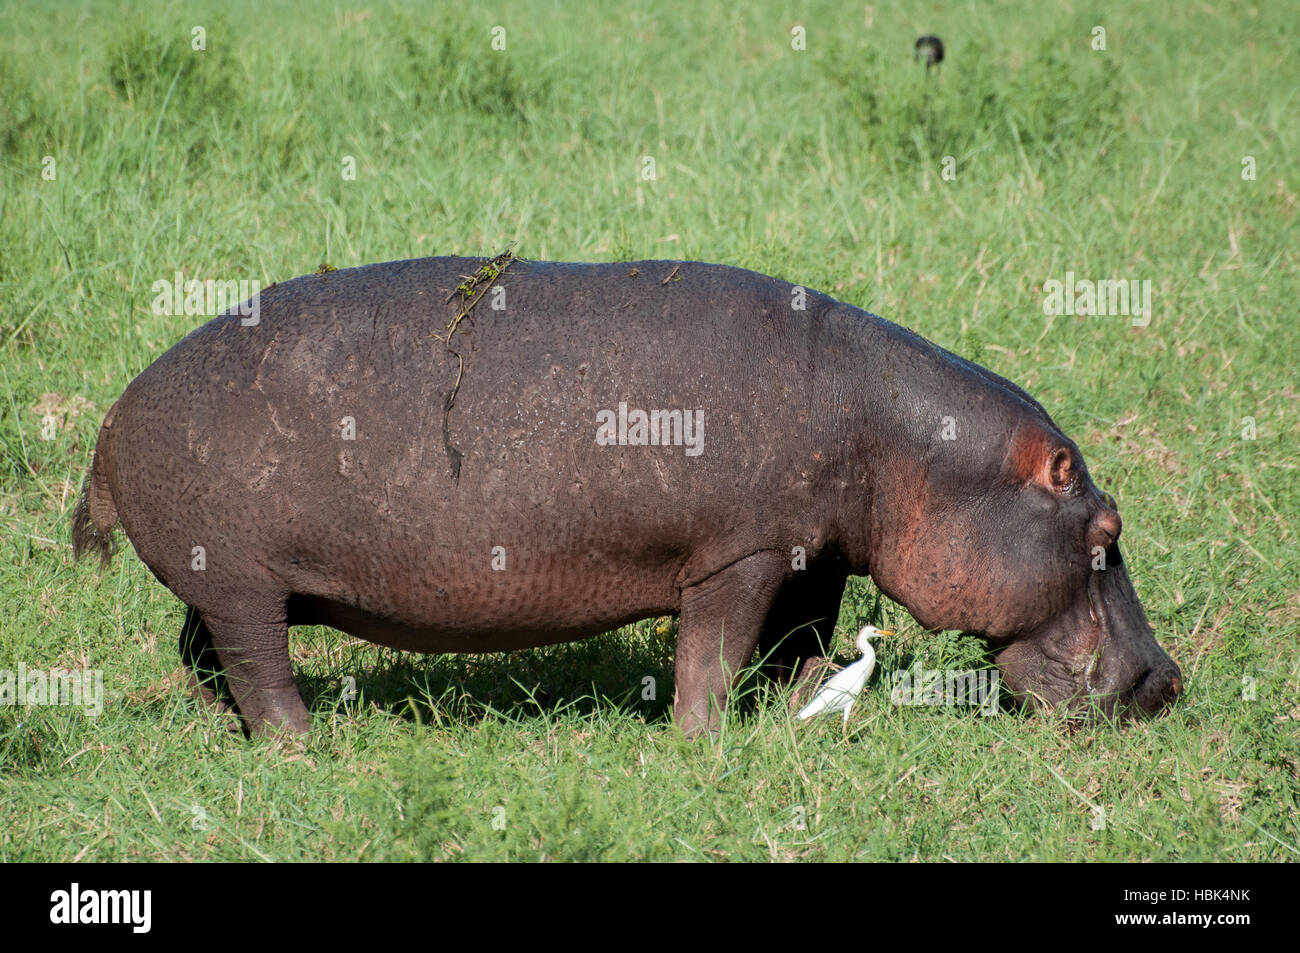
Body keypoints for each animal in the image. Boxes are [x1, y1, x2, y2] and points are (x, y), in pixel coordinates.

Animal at [72, 256, 1182, 736]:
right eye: (1106, 526)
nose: (1165, 679)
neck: (907, 445)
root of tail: (114, 414)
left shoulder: (808, 548)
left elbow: (802, 639)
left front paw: (788, 715)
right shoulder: (738, 552)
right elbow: (713, 650)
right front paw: (701, 743)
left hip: (224, 580)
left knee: (201, 649)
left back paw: (224, 728)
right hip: (242, 577)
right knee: (258, 661)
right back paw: (303, 747)